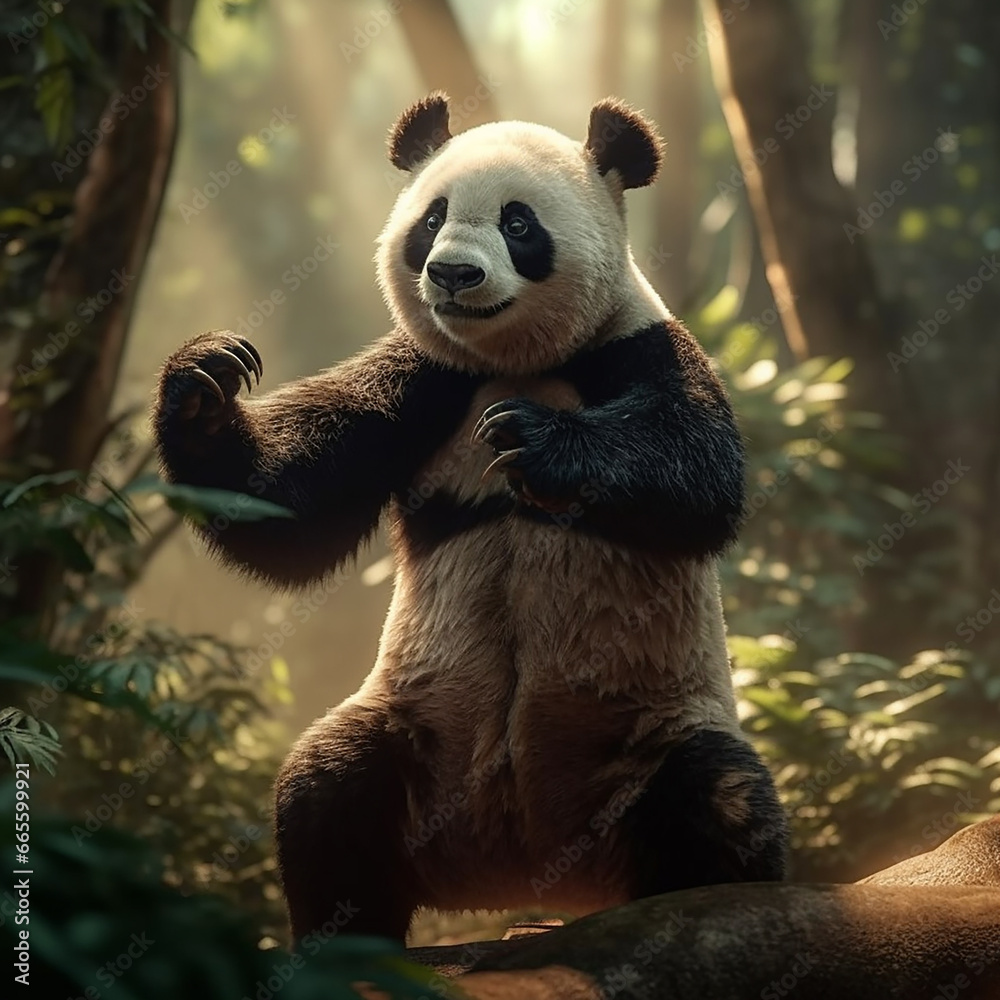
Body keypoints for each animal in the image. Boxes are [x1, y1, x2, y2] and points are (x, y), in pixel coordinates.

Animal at [154, 93, 788, 943]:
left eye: (519, 224)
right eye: (433, 218)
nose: (452, 273)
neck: (514, 361)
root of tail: (531, 872)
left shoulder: (640, 345)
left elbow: (700, 472)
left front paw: (533, 443)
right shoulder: (424, 381)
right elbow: (293, 511)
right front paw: (204, 384)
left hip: (649, 734)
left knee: (720, 798)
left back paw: (707, 906)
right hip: (418, 735)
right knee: (328, 791)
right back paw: (348, 939)